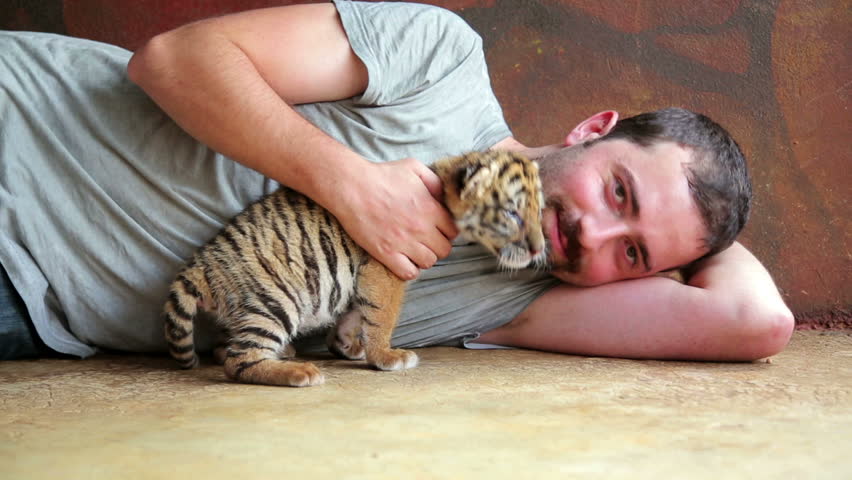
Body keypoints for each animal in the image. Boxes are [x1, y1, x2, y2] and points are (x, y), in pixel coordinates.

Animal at [162, 150, 546, 387]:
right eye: (512, 213)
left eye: (538, 211)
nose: (540, 248)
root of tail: (200, 265)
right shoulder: (386, 268)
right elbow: (382, 317)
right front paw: (386, 356)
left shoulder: (361, 277)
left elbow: (354, 313)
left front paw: (348, 346)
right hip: (275, 300)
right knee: (239, 360)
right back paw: (299, 372)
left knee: (224, 349)